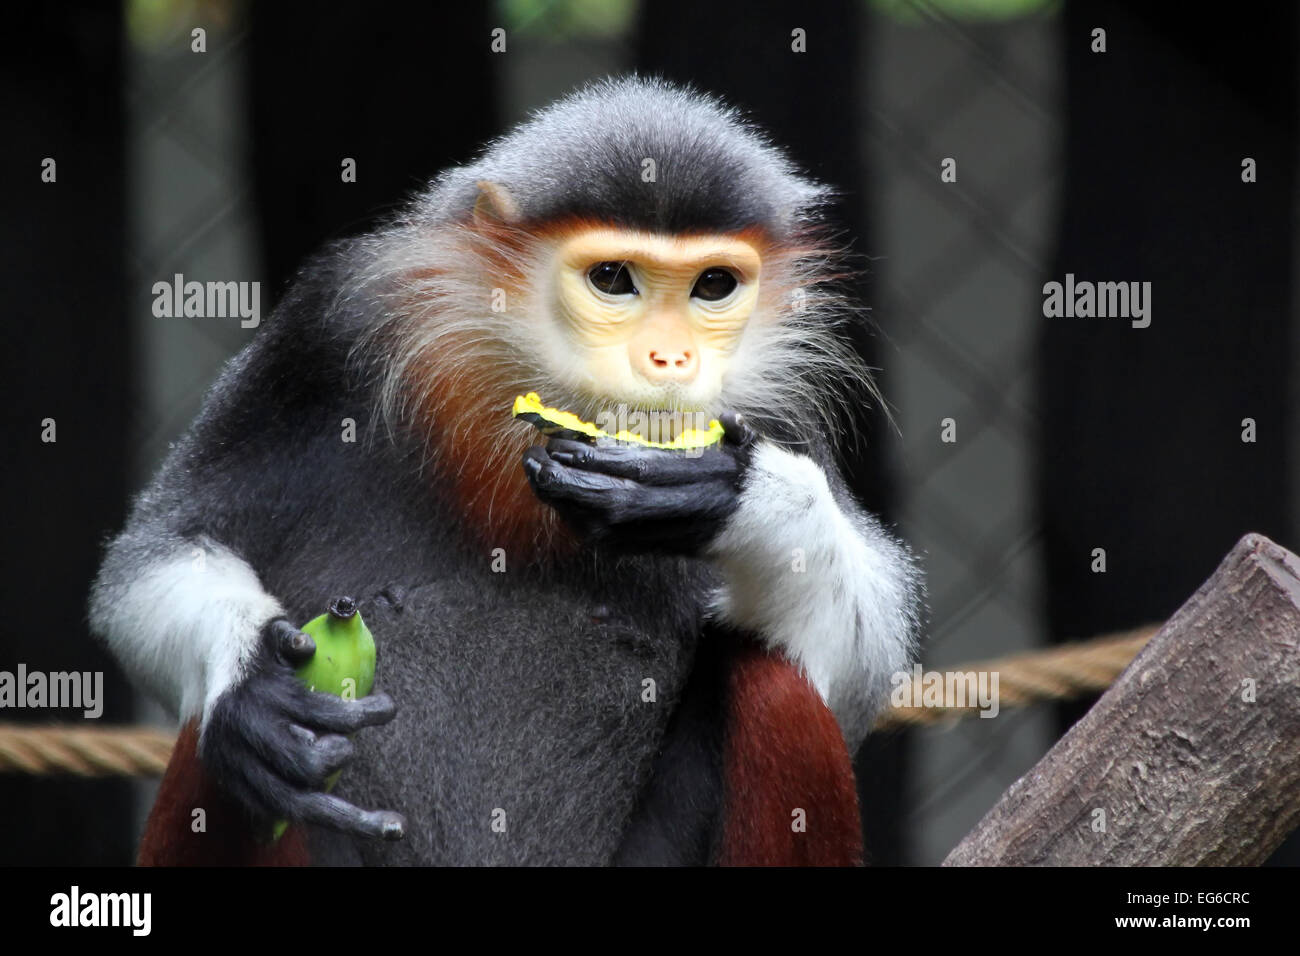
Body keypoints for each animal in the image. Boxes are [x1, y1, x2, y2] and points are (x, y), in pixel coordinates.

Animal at [89, 76, 923, 866]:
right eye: (613, 278)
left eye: (712, 286)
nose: (671, 359)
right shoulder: (326, 333)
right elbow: (154, 557)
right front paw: (254, 696)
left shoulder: (779, 421)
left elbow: (863, 667)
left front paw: (726, 494)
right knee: (209, 749)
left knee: (776, 684)